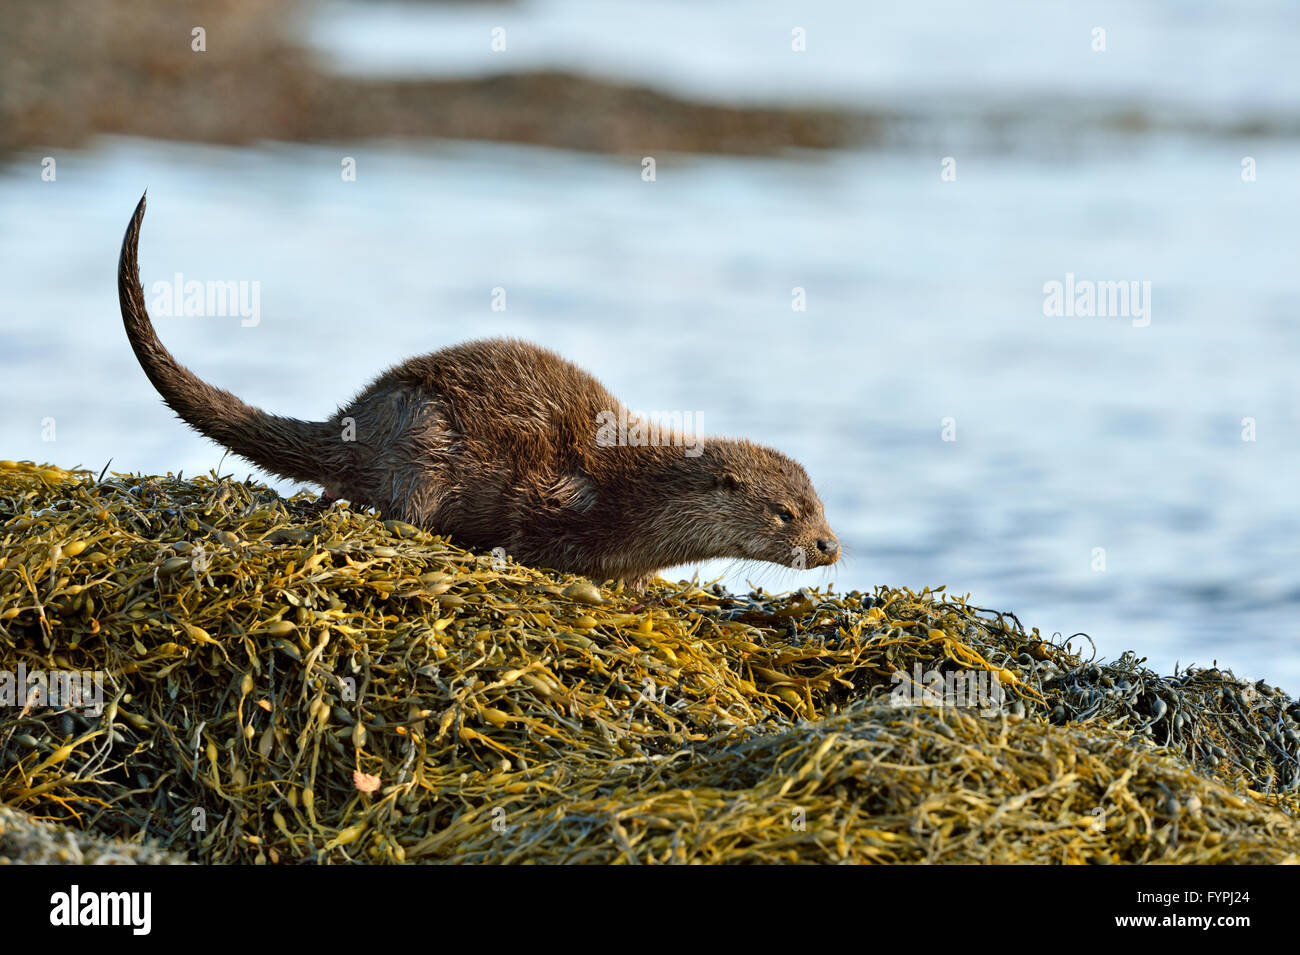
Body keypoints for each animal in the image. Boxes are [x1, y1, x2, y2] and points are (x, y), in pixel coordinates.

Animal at [116, 194, 840, 589]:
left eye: (820, 506)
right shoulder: (559, 494)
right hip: (424, 436)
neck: (638, 491)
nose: (830, 545)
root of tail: (358, 417)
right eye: (786, 514)